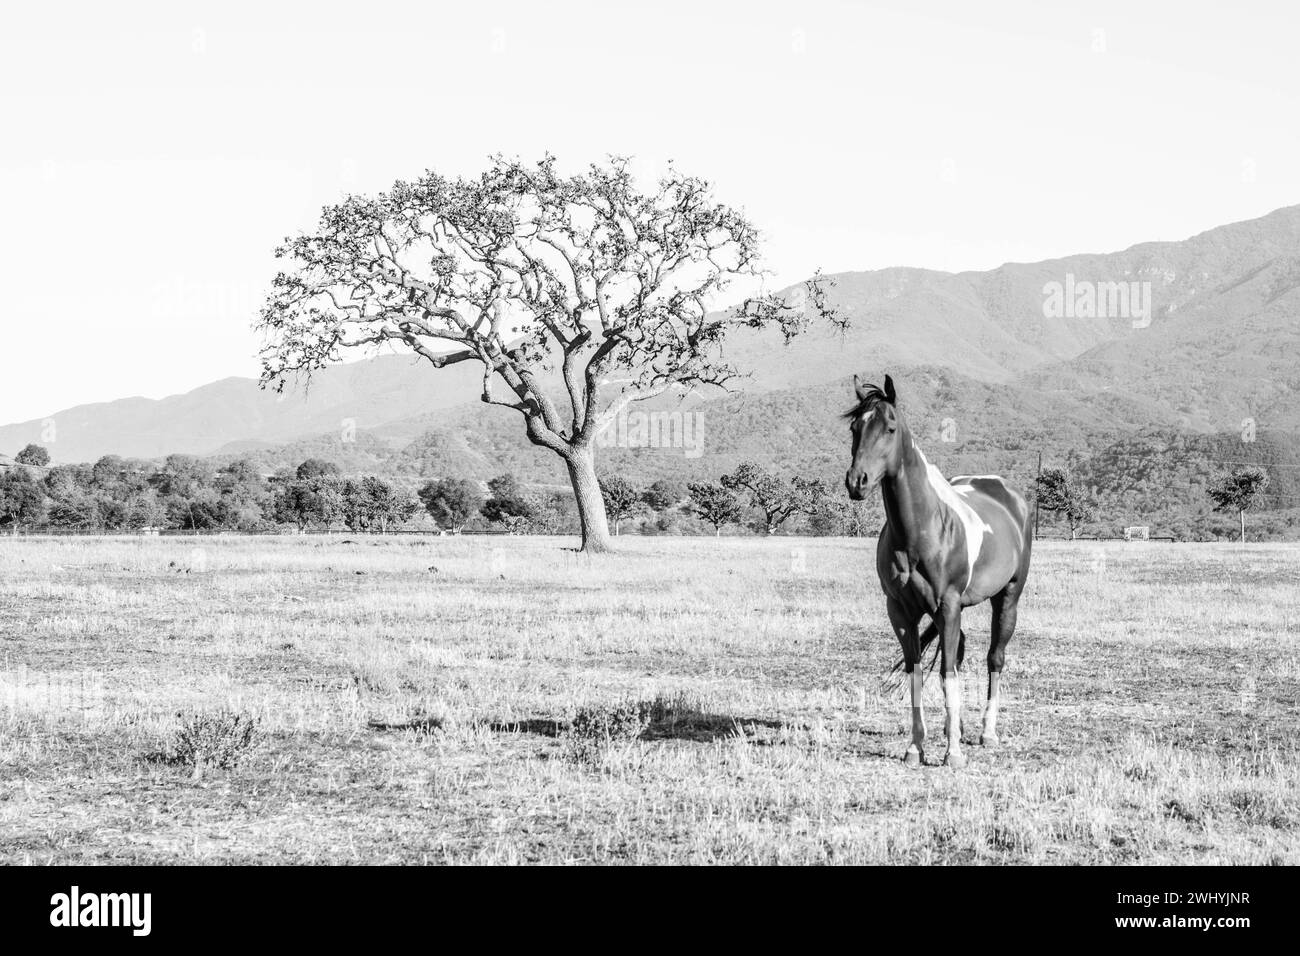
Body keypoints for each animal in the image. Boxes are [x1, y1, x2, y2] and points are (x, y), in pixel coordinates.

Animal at [843, 374, 1033, 768]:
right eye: (855, 427)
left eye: (890, 428)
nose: (857, 481)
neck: (922, 528)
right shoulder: (902, 610)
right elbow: (917, 671)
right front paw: (916, 748)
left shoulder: (948, 604)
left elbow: (947, 673)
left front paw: (954, 753)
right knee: (959, 654)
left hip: (1007, 597)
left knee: (994, 658)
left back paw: (986, 732)